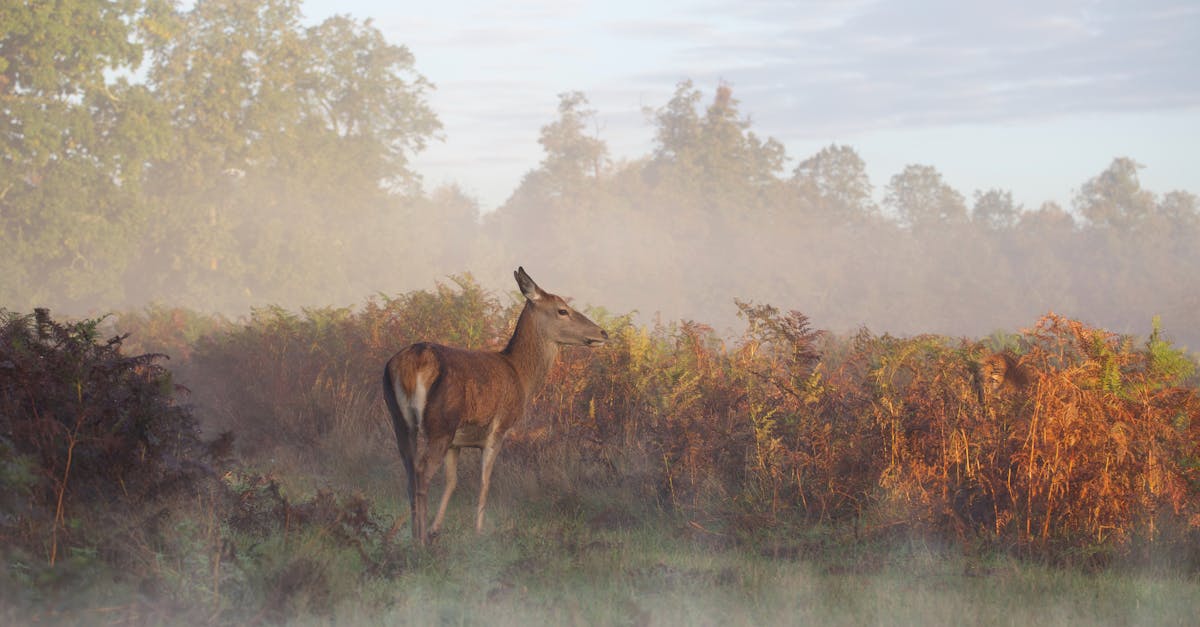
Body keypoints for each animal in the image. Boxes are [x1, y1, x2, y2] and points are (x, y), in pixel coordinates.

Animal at [384, 265, 609, 538]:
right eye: (562, 309)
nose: (602, 332)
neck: (521, 376)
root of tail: (413, 363)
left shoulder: (457, 442)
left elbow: (452, 481)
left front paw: (437, 527)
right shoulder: (499, 429)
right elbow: (485, 481)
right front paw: (478, 531)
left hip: (400, 420)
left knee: (409, 470)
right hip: (441, 424)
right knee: (422, 472)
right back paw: (420, 539)